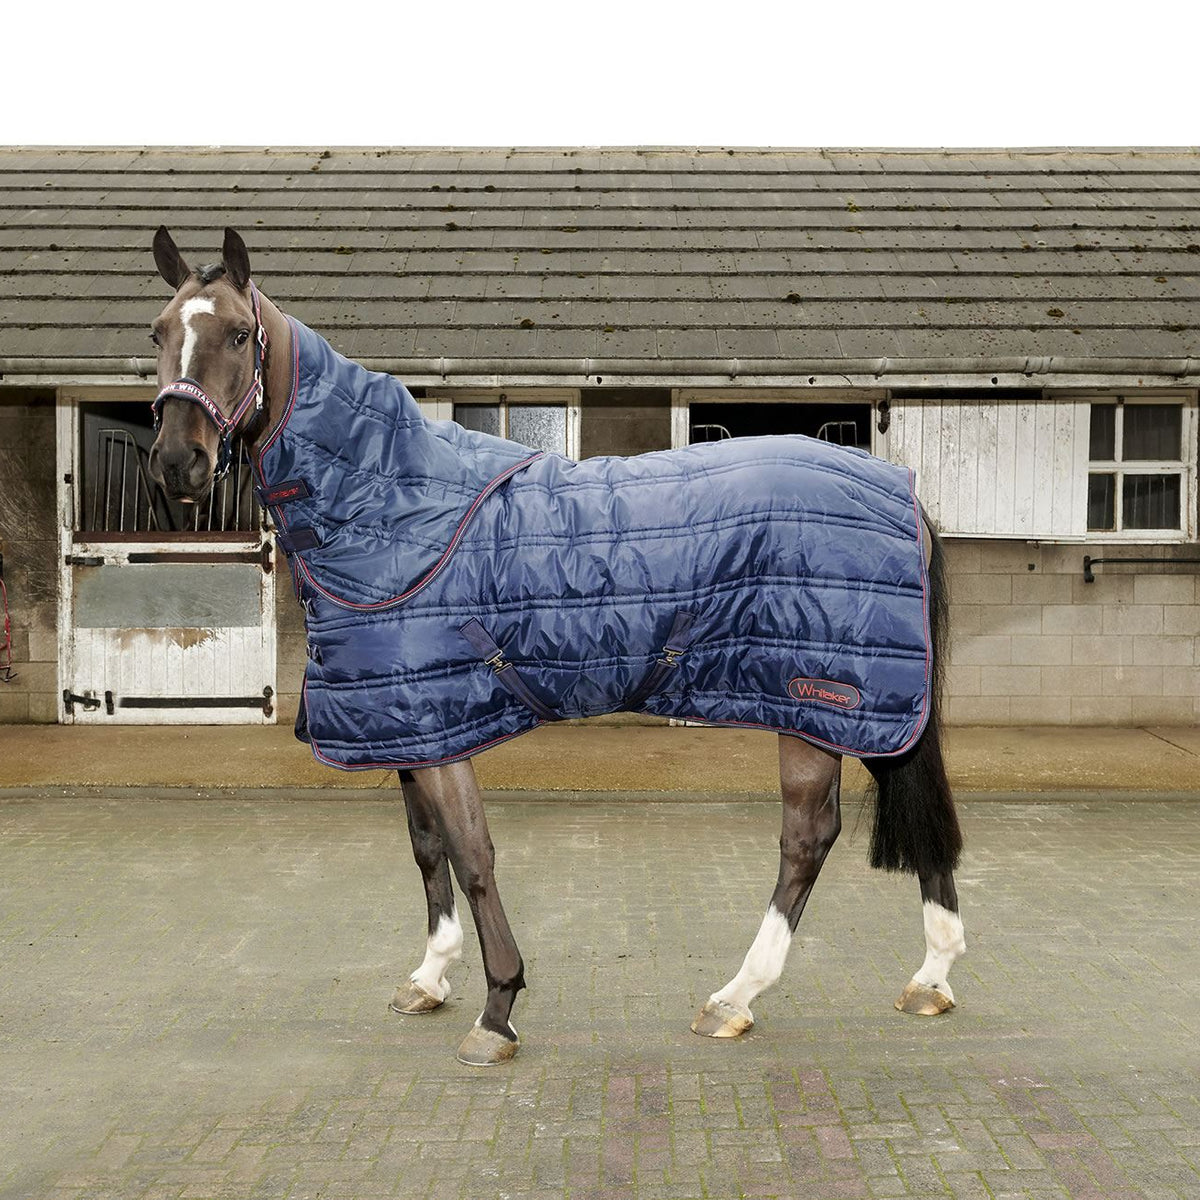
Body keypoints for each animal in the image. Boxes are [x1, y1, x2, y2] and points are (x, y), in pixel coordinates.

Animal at [146, 227, 965, 1067]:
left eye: (236, 334)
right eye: (159, 334)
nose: (178, 463)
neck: (387, 505)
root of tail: (900, 491)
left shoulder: (442, 729)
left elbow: (473, 856)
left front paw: (497, 1008)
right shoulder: (408, 721)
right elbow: (427, 849)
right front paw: (431, 977)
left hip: (819, 706)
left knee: (807, 839)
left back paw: (737, 996)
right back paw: (929, 978)